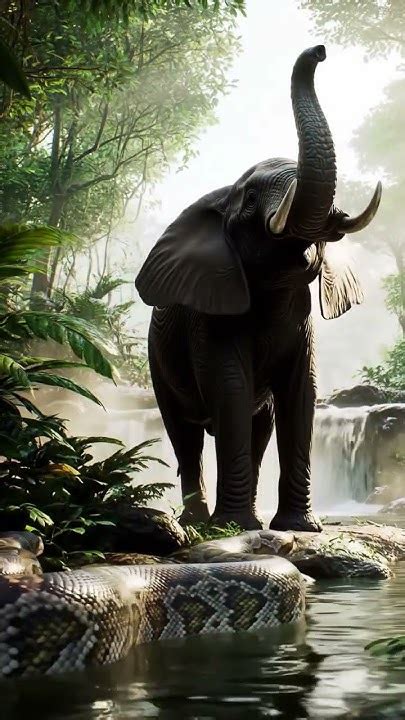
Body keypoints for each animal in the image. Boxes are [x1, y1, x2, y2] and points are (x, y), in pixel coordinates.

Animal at [135, 45, 382, 533]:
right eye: (249, 199)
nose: (319, 51)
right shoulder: (210, 315)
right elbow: (230, 387)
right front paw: (232, 528)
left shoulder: (302, 321)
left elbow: (301, 391)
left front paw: (298, 527)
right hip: (157, 358)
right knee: (184, 431)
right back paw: (201, 523)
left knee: (258, 424)